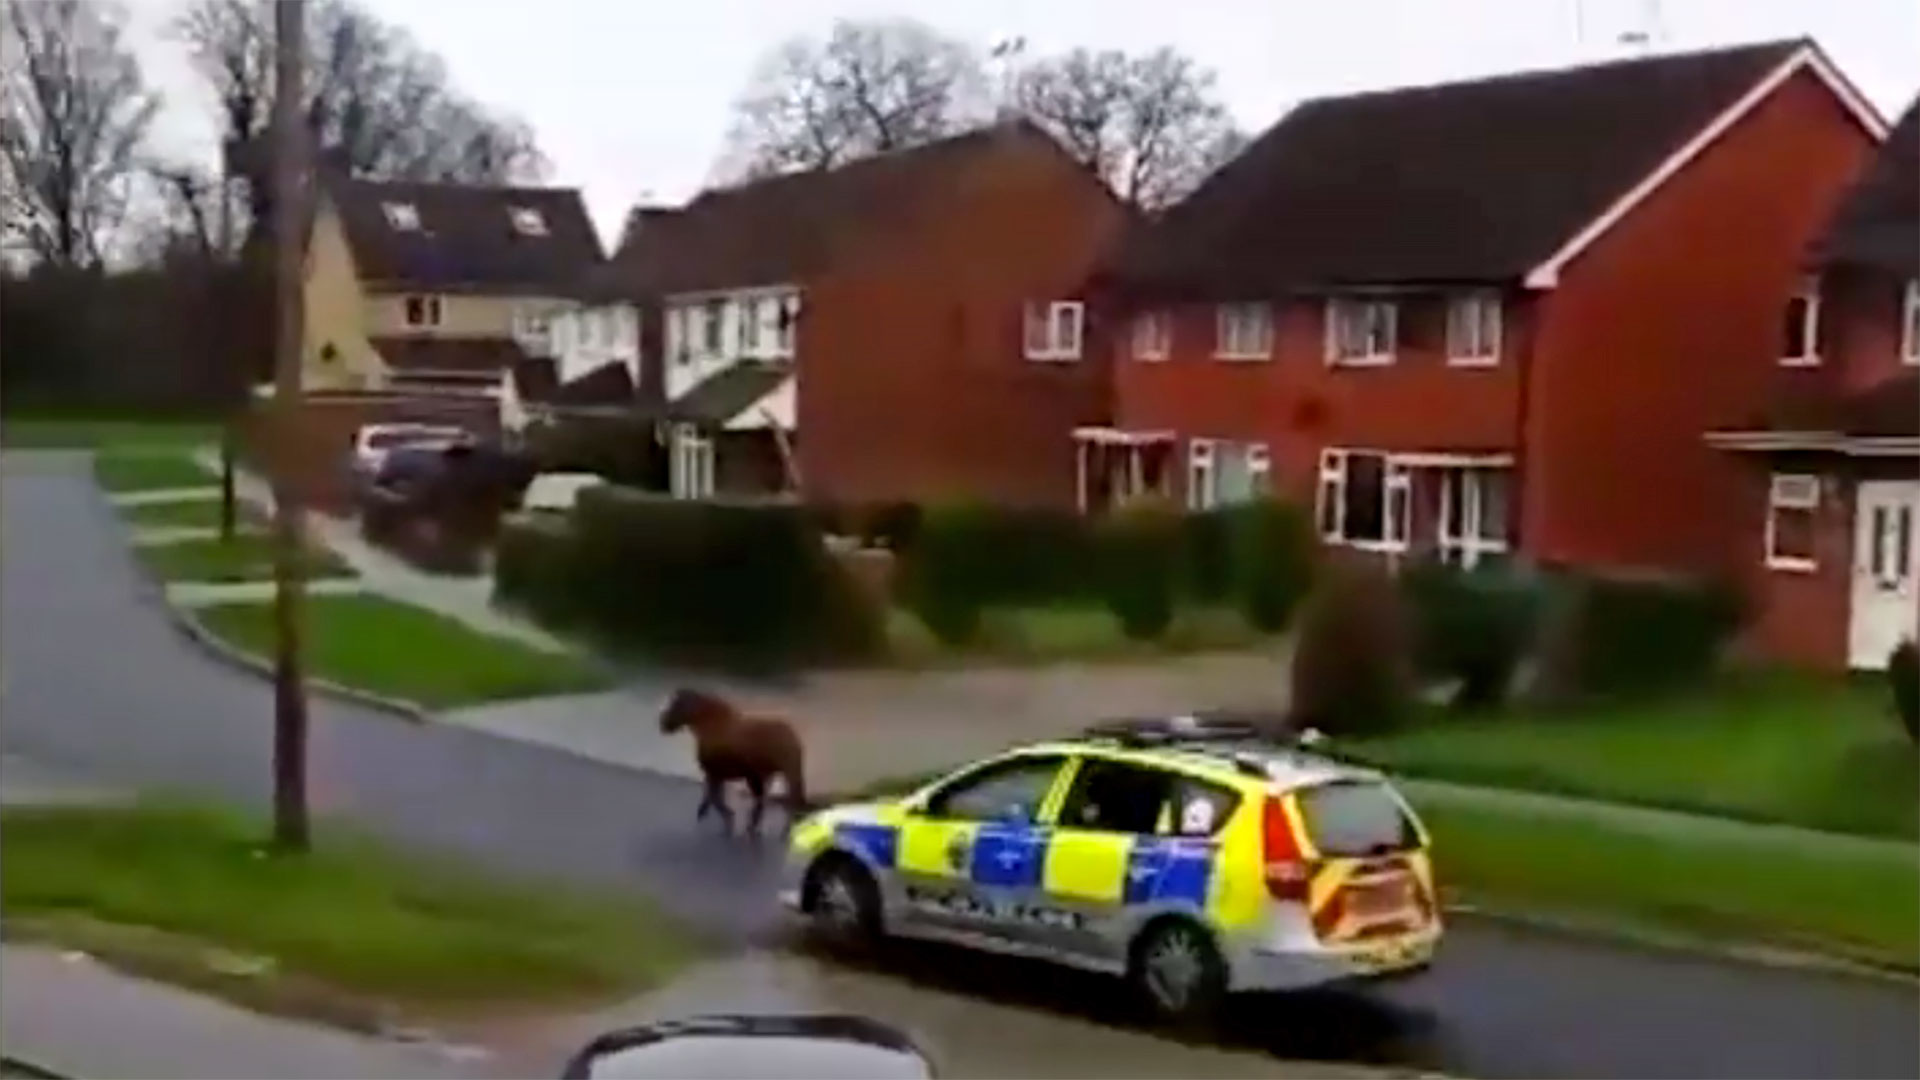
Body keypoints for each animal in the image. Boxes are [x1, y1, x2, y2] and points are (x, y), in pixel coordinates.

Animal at [658, 687, 811, 838]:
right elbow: (712, 795)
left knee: (787, 800)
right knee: (765, 800)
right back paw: (758, 826)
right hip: (769, 775)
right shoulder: (716, 773)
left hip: (784, 774)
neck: (712, 726)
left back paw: (781, 829)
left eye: (676, 704)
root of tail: (793, 736)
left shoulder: (715, 772)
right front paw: (704, 812)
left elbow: (715, 798)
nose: (663, 723)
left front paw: (728, 818)